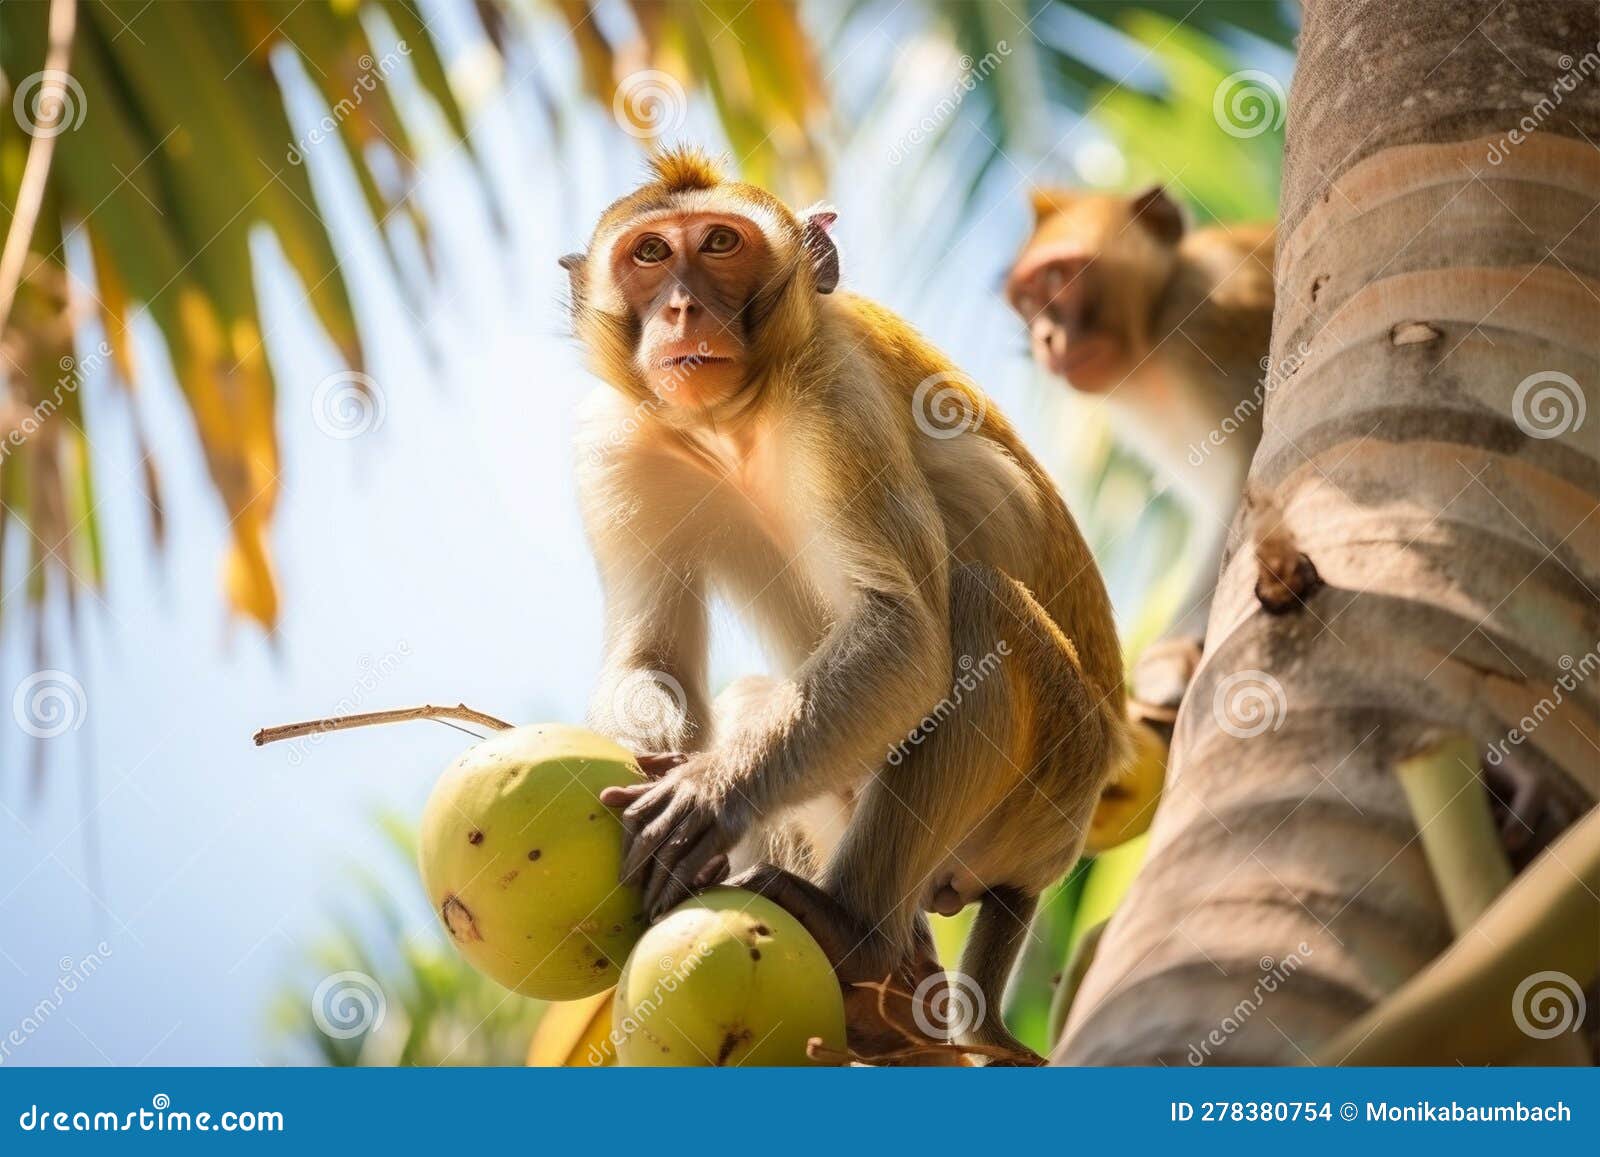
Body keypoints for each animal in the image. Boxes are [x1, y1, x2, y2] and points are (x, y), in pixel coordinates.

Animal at [562, 148, 1128, 1061]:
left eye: (719, 243)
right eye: (650, 255)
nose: (682, 308)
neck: (734, 423)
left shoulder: (836, 396)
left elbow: (905, 631)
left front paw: (710, 794)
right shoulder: (616, 443)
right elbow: (650, 657)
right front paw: (661, 757)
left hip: (1054, 782)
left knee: (974, 611)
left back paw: (854, 931)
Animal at [1005, 186, 1275, 724]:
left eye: (1056, 277)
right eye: (1027, 300)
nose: (1045, 338)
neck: (1153, 331)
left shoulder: (1219, 314)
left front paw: (1171, 656)